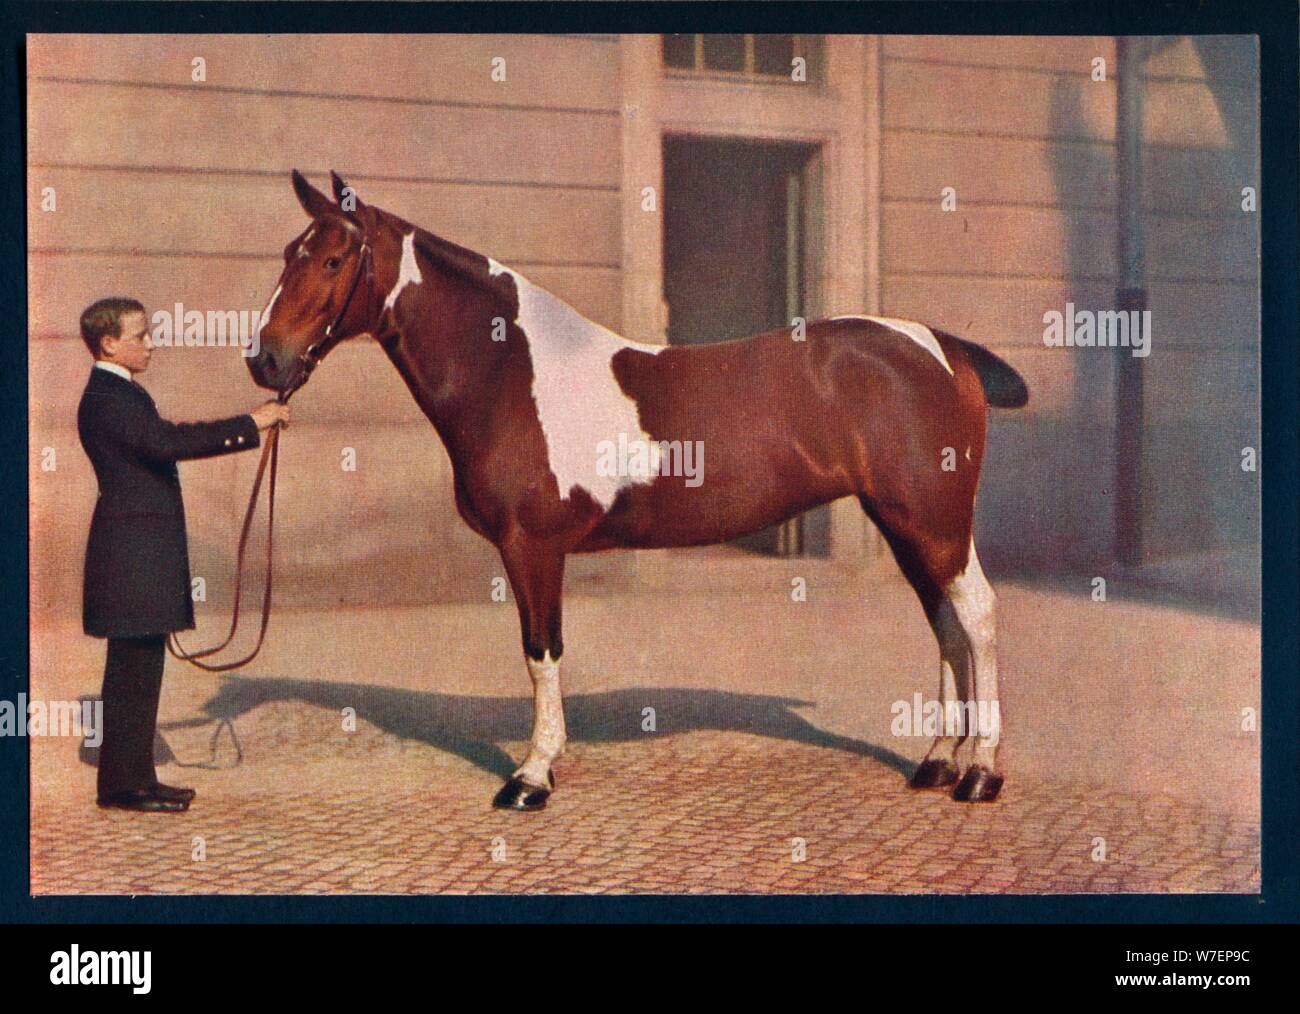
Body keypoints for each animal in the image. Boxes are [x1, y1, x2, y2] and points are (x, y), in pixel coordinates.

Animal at [250, 170, 1029, 811]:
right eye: (288, 252)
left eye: (331, 259)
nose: (265, 360)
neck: (511, 374)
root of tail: (943, 347)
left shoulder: (533, 548)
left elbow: (541, 652)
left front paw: (532, 776)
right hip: (905, 525)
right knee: (945, 624)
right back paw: (937, 762)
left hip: (933, 522)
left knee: (978, 616)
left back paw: (981, 773)